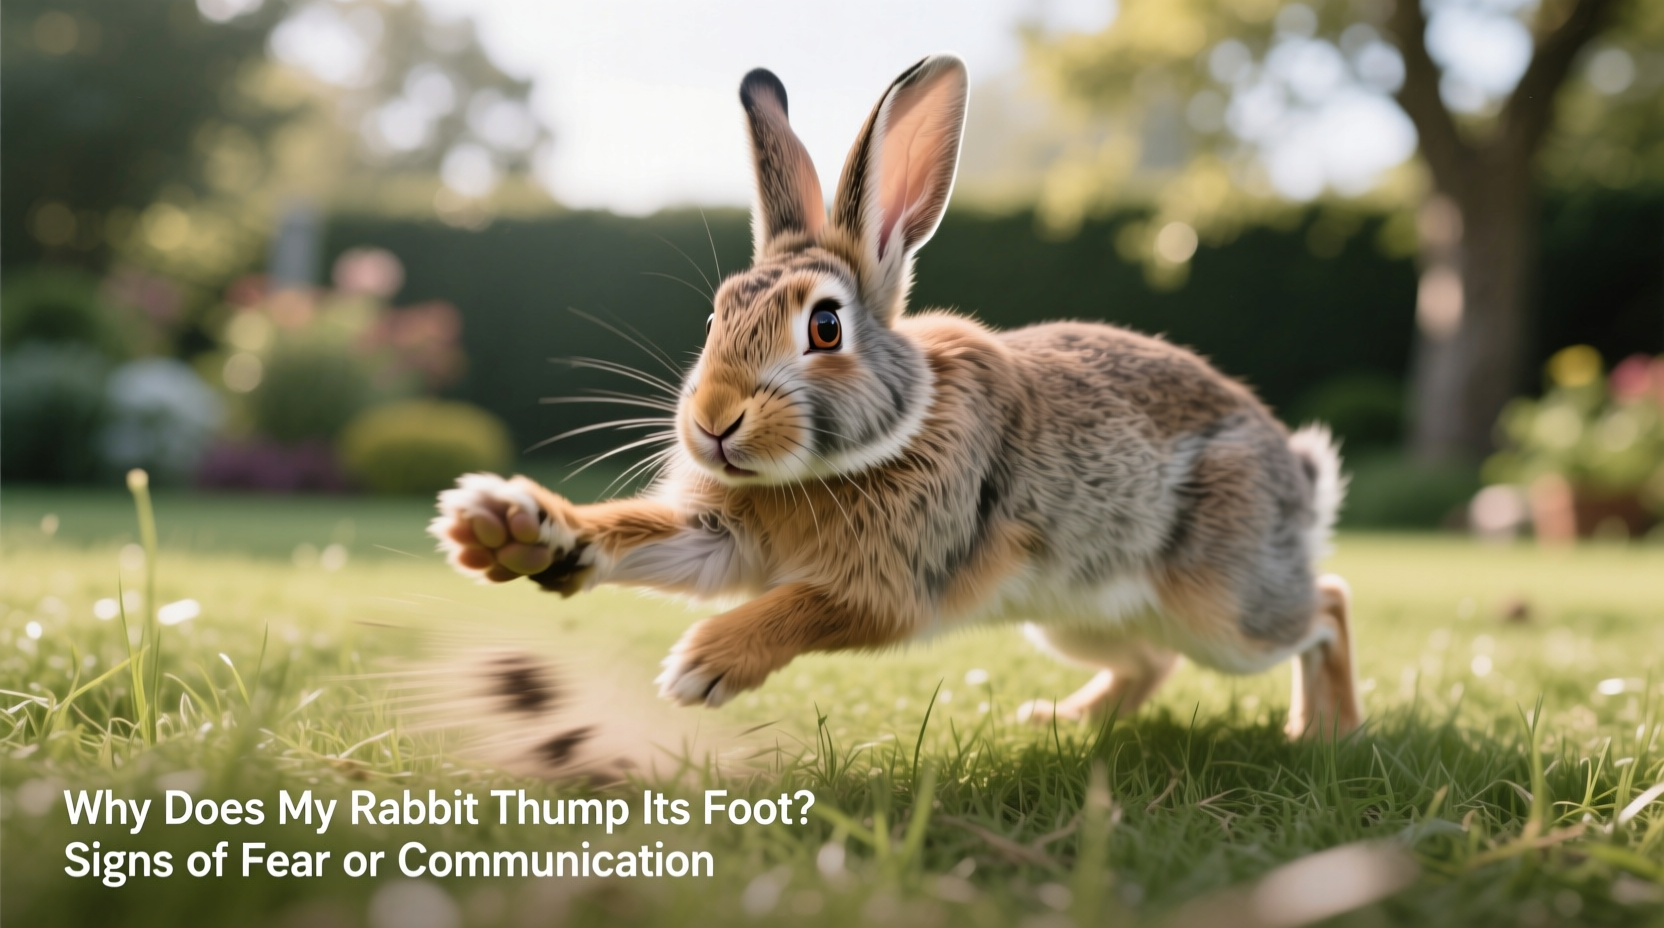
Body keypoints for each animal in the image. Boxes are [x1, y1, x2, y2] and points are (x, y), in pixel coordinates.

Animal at [430, 54, 1362, 739]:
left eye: (825, 327)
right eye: (717, 313)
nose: (714, 424)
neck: (852, 454)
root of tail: (1298, 477)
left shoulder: (893, 584)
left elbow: (807, 604)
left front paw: (702, 663)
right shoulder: (723, 535)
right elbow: (644, 536)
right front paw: (509, 529)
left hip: (1223, 612)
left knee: (1325, 605)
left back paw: (1325, 732)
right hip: (1074, 618)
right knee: (1151, 661)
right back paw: (1058, 720)